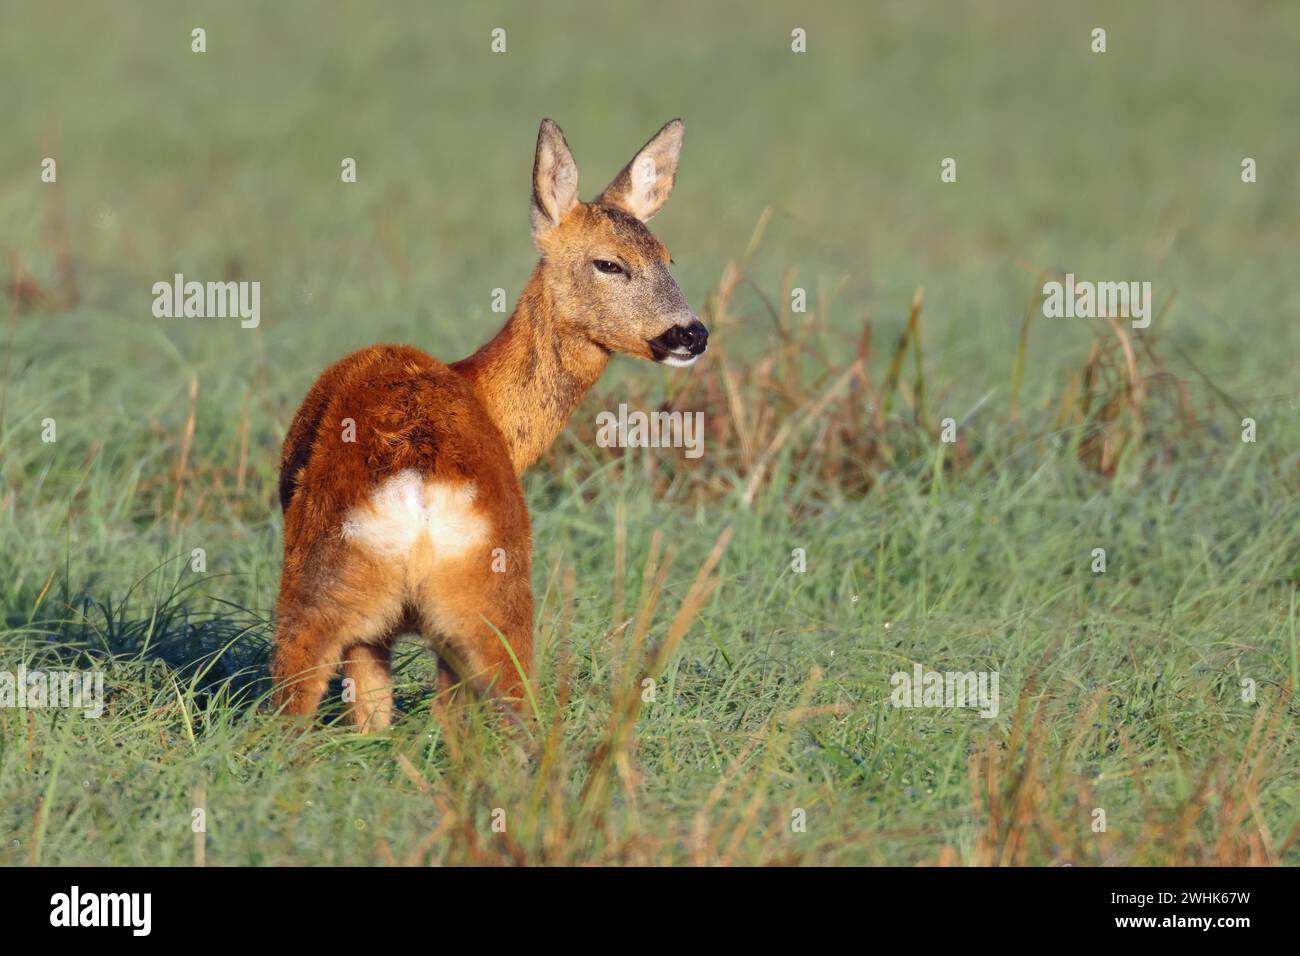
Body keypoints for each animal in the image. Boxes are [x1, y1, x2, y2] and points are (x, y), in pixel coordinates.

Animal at [271, 118, 708, 731]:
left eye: (668, 258)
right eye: (609, 263)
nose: (691, 333)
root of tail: (419, 491)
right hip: (483, 596)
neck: (480, 394)